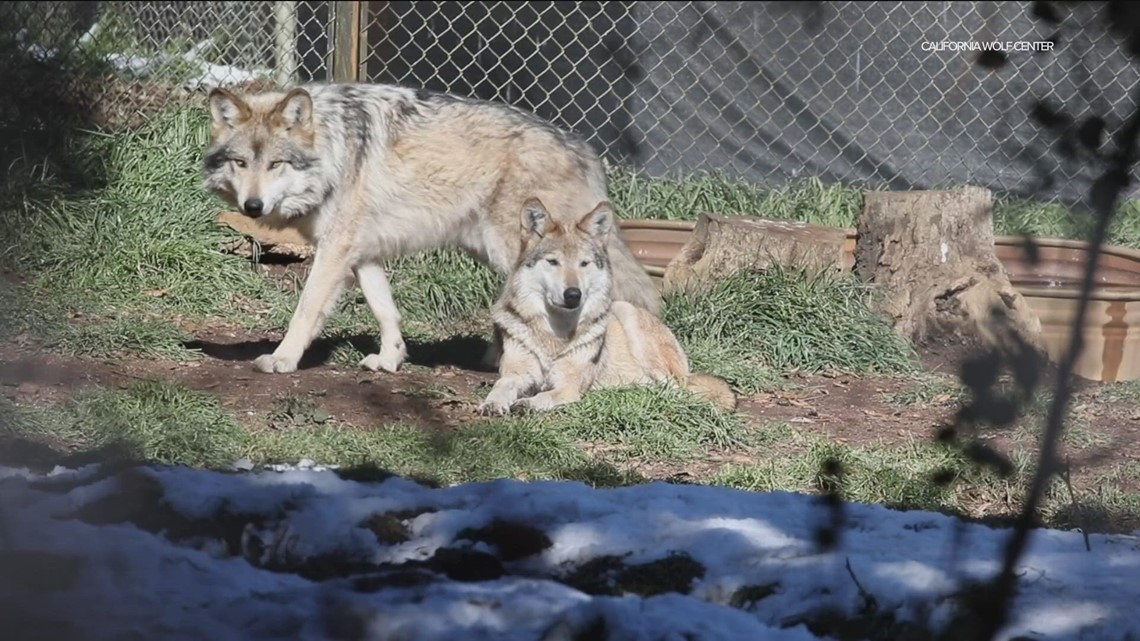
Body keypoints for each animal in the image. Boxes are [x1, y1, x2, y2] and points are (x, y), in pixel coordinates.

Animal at [201, 82, 661, 375]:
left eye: (276, 164)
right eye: (240, 163)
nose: (253, 206)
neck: (333, 149)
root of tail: (586, 150)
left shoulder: (334, 250)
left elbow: (306, 309)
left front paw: (282, 359)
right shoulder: (362, 253)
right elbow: (386, 310)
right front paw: (390, 360)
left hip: (518, 251)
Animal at [477, 198, 737, 416]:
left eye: (584, 263)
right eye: (553, 262)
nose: (573, 294)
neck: (554, 335)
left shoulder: (567, 387)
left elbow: (544, 396)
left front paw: (526, 403)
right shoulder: (517, 373)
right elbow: (501, 385)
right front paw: (492, 403)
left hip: (629, 317)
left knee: (677, 390)